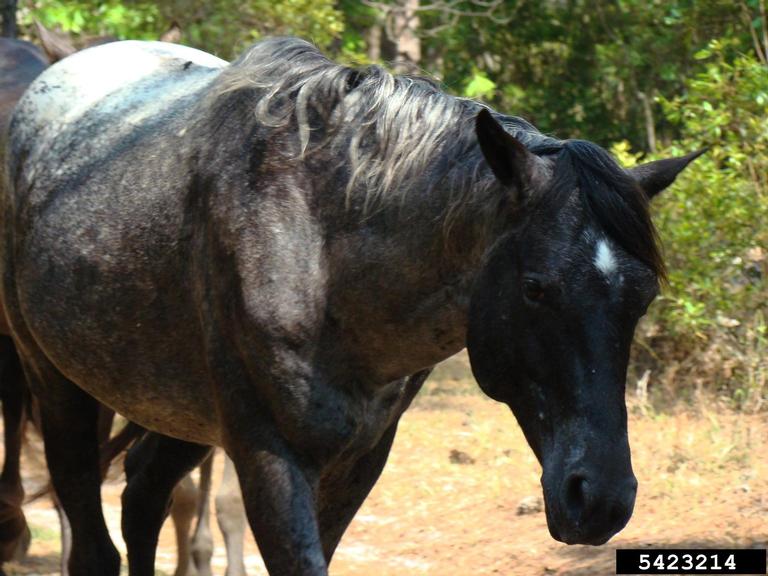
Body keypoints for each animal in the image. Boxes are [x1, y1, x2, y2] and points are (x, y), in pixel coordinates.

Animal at [1, 37, 702, 575]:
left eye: (642, 297)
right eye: (535, 287)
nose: (602, 499)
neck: (320, 249)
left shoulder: (360, 457)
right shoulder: (268, 455)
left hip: (179, 407)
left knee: (144, 493)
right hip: (57, 384)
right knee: (94, 542)